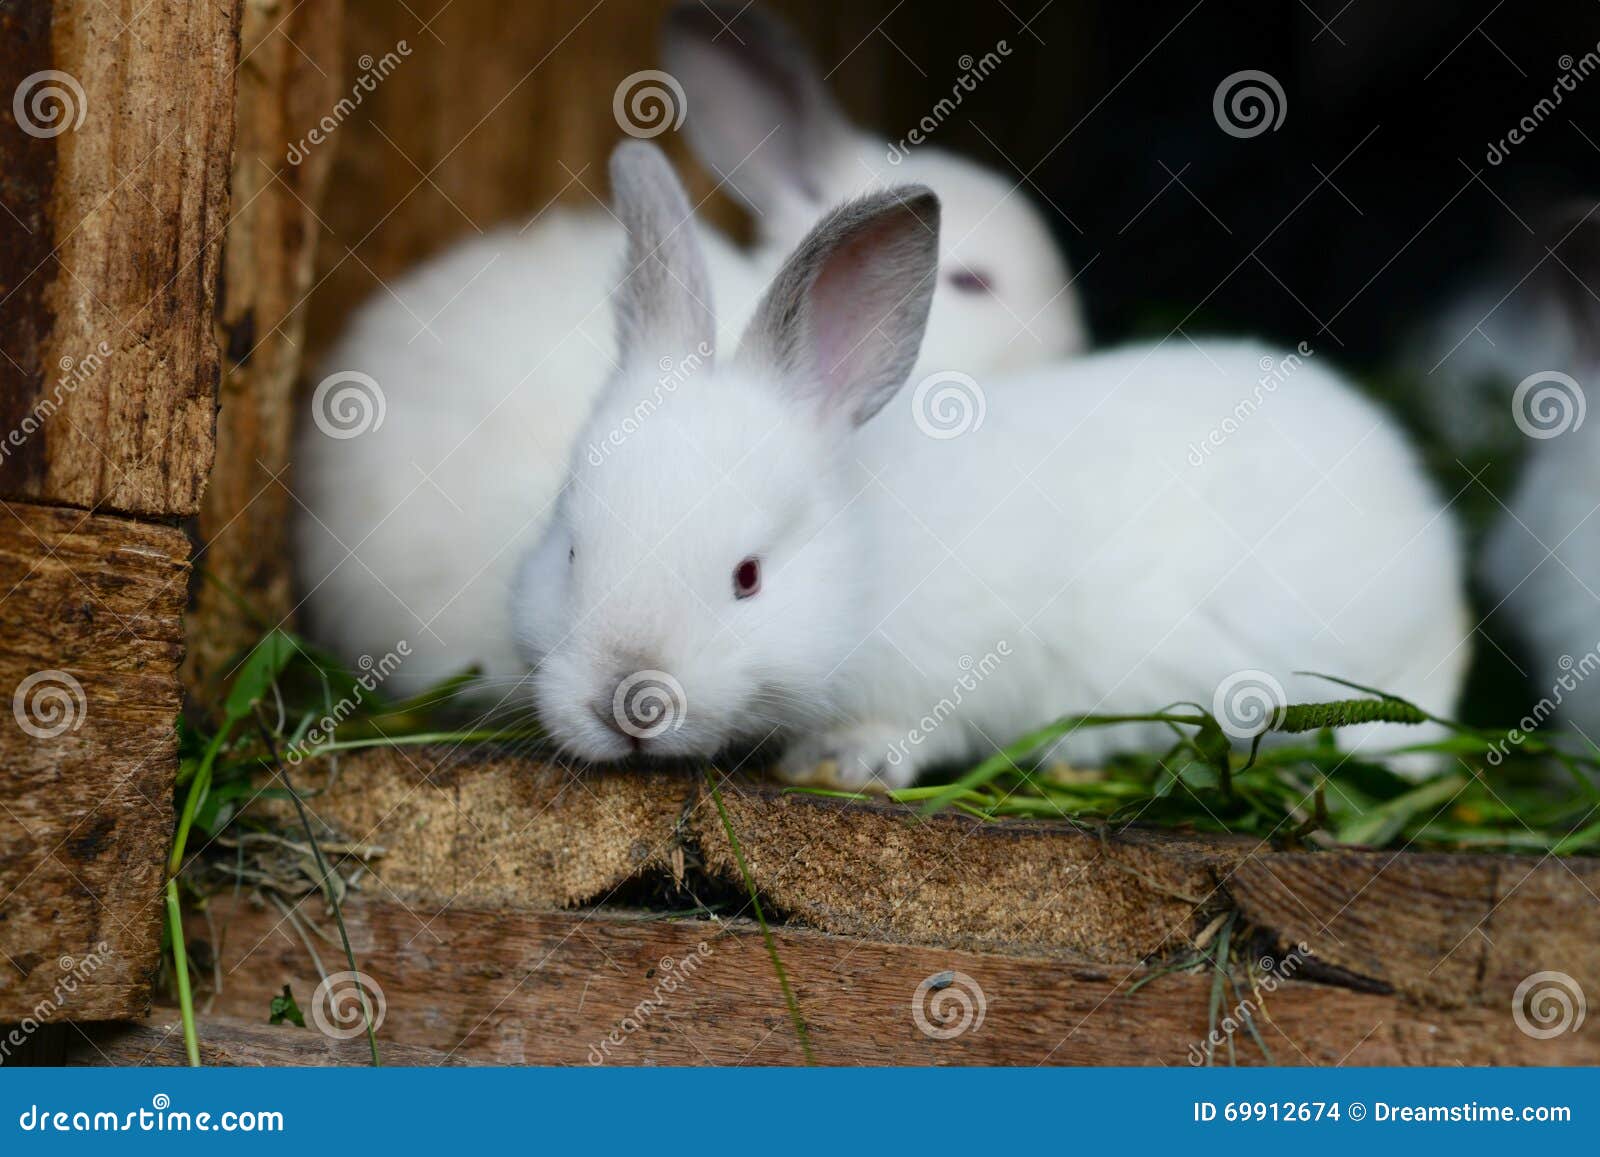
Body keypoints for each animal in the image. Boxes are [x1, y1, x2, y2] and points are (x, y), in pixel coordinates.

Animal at [513, 140, 1471, 791]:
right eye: (571, 550)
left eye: (747, 576)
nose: (630, 701)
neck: (869, 562)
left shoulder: (969, 669)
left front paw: (843, 759)